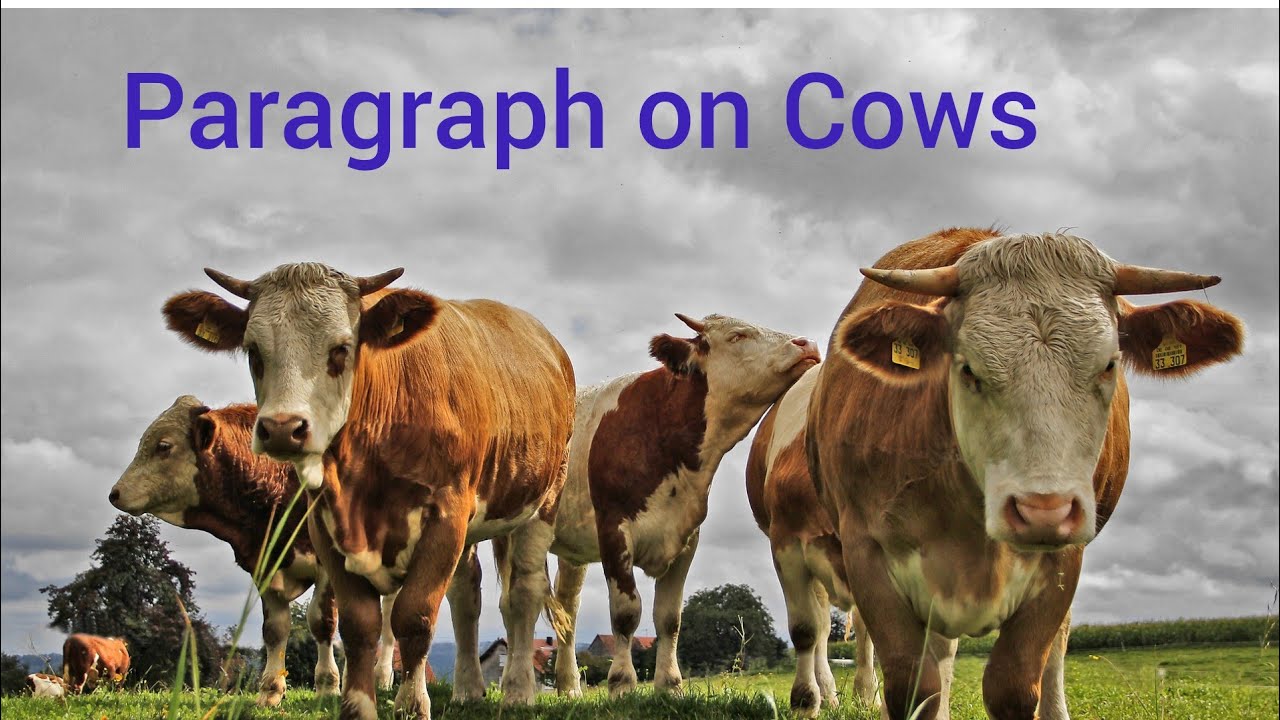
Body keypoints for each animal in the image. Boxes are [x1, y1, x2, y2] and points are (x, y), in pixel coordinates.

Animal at [108, 396, 407, 704]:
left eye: (164, 446)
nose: (115, 493)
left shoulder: (327, 563)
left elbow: (321, 621)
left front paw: (327, 686)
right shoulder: (263, 565)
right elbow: (275, 629)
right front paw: (270, 690)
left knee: (388, 618)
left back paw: (381, 678)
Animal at [161, 263, 576, 720]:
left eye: (342, 349)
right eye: (254, 351)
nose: (283, 428)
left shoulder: (446, 513)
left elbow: (414, 616)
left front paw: (412, 705)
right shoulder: (325, 525)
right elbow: (359, 624)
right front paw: (358, 706)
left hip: (543, 499)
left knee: (524, 592)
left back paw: (518, 690)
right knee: (466, 592)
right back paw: (469, 688)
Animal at [543, 313, 821, 698]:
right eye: (737, 336)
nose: (807, 343)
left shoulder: (686, 536)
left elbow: (669, 618)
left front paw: (669, 685)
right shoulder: (613, 531)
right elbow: (626, 614)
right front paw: (622, 684)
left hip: (572, 550)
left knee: (567, 608)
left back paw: (569, 687)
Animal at [806, 228, 1243, 720]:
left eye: (1109, 364)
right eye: (968, 368)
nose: (1043, 511)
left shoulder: (1063, 562)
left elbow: (1013, 684)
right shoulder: (866, 552)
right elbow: (915, 686)